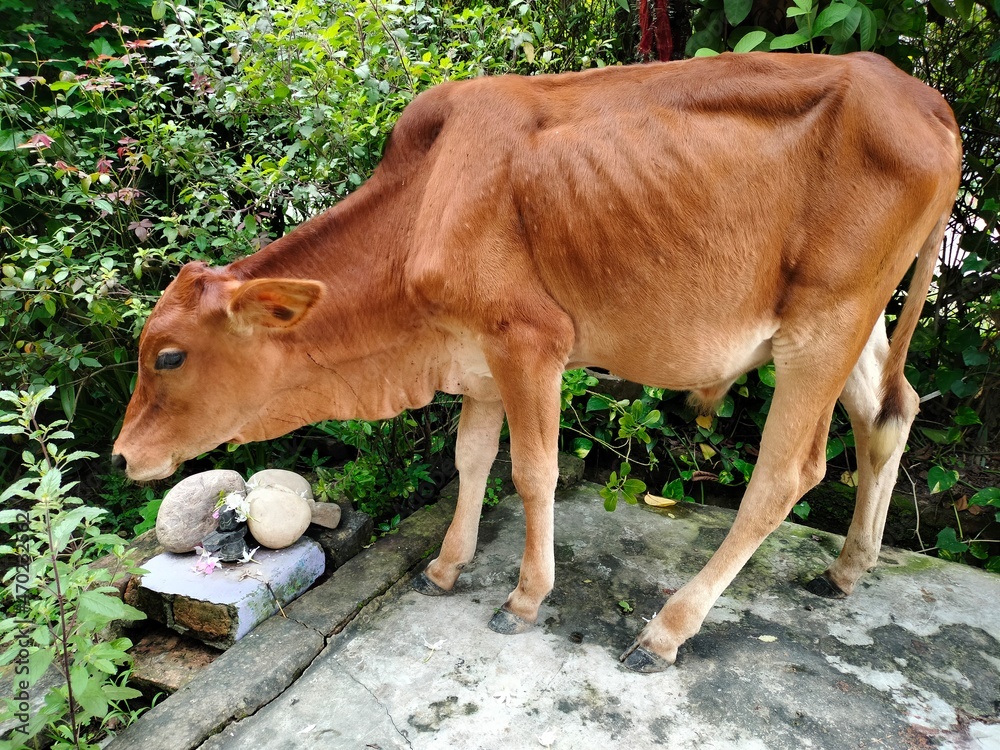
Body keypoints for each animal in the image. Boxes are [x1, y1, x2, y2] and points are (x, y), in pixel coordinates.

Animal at [112, 52, 961, 672]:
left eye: (170, 356)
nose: (121, 457)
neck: (422, 208)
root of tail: (920, 96)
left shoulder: (530, 341)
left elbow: (532, 472)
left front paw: (525, 598)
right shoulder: (479, 354)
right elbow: (470, 458)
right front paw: (446, 566)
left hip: (824, 324)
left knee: (787, 475)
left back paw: (667, 630)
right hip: (850, 322)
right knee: (889, 414)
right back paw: (848, 569)